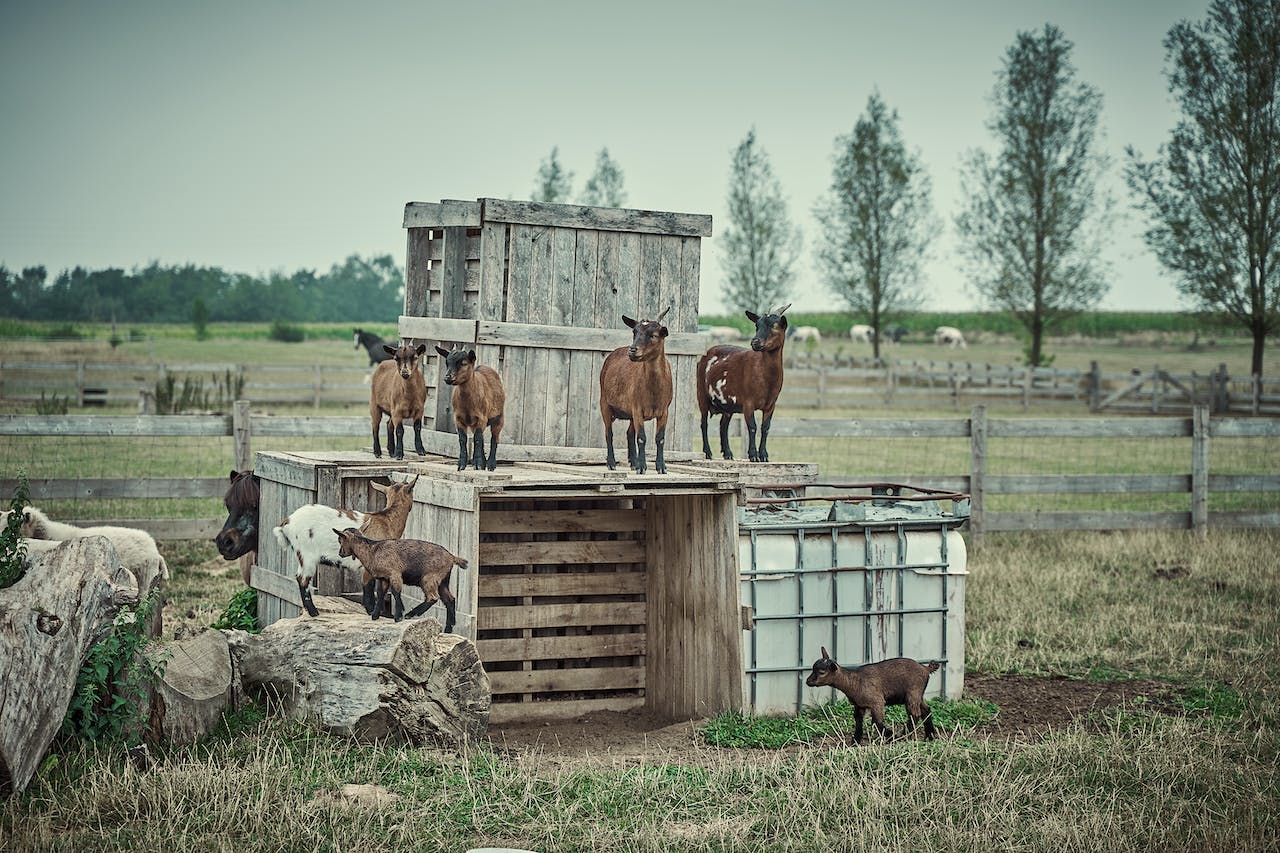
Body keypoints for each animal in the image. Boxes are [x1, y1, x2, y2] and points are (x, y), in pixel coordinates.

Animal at [271, 475, 419, 617]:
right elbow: (369, 588)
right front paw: (372, 612)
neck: (387, 520)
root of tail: (287, 523)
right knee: (302, 579)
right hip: (307, 555)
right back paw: (314, 612)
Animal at [334, 527, 467, 634]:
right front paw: (375, 615)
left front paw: (398, 616)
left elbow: (395, 592)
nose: (340, 553)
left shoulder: (395, 574)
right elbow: (381, 594)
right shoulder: (384, 578)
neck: (372, 551)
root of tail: (452, 557)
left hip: (429, 578)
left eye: (341, 539)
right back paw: (448, 629)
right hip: (443, 581)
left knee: (433, 597)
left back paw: (411, 614)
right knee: (450, 599)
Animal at [599, 307, 673, 474]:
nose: (632, 350)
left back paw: (633, 462)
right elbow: (642, 438)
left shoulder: (664, 411)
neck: (654, 390)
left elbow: (660, 438)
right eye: (634, 332)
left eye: (654, 335)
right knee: (608, 433)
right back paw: (611, 463)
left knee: (629, 433)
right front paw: (642, 467)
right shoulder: (638, 408)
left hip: (631, 413)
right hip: (605, 403)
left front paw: (661, 467)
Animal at [696, 303, 791, 462]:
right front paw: (753, 455)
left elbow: (765, 427)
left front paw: (764, 455)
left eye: (775, 326)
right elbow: (752, 426)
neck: (766, 377)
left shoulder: (771, 404)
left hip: (727, 405)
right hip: (701, 395)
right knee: (704, 423)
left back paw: (728, 453)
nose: (755, 342)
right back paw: (708, 452)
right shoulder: (748, 402)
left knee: (723, 425)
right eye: (757, 325)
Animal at [805, 646, 938, 743]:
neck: (854, 682)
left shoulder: (877, 701)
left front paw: (890, 736)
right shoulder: (859, 705)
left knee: (914, 714)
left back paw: (903, 737)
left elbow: (877, 722)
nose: (808, 681)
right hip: (918, 694)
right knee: (926, 710)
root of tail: (926, 669)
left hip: (913, 692)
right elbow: (858, 721)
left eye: (821, 672)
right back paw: (929, 737)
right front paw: (855, 741)